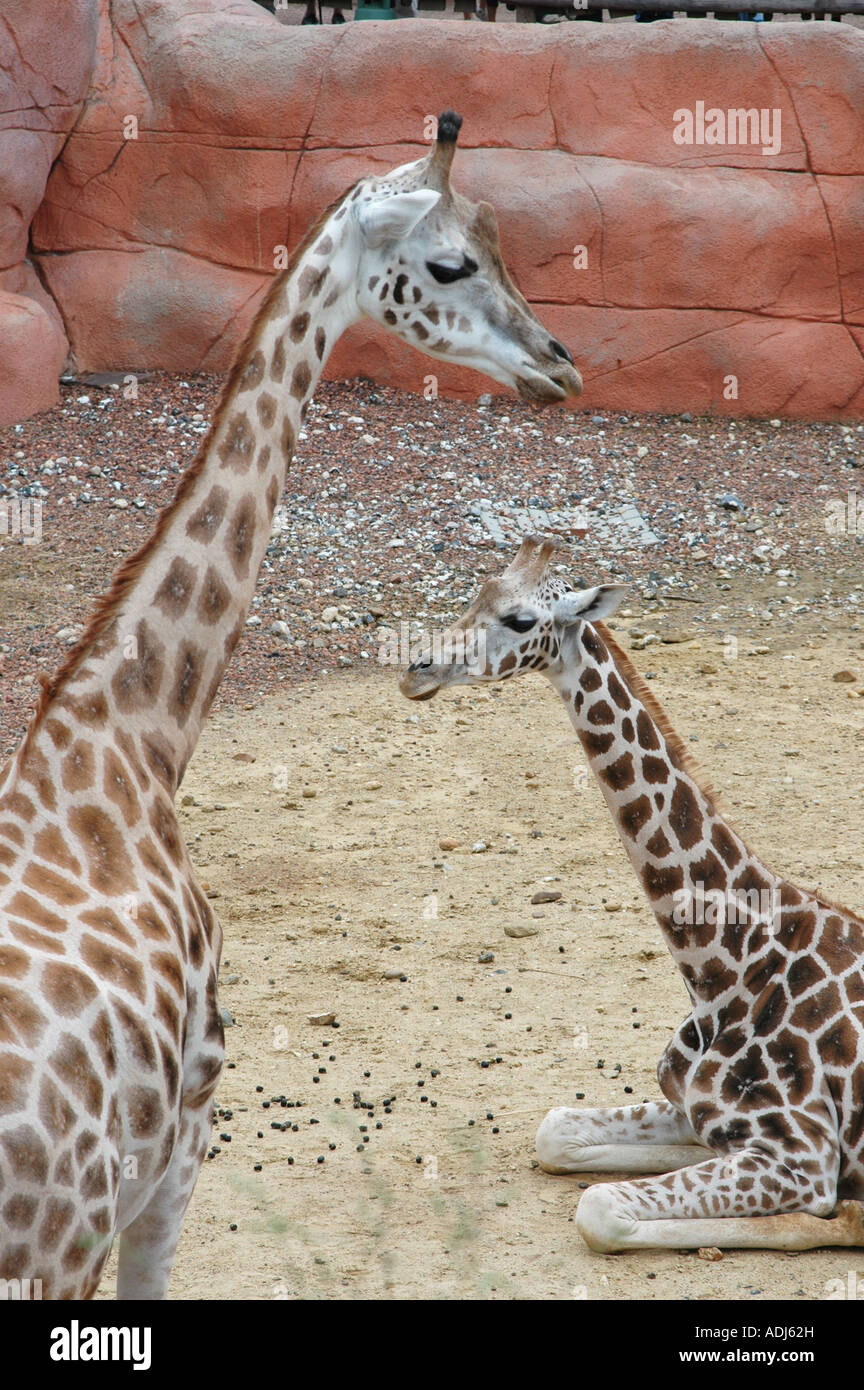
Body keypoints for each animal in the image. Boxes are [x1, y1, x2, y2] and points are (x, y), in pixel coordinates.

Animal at [400, 536, 864, 1253]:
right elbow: (556, 1132)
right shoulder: (697, 1112)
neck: (722, 966)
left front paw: (837, 1214)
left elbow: (601, 1208)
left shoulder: (802, 1152)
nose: (414, 670)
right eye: (475, 595)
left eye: (521, 621)